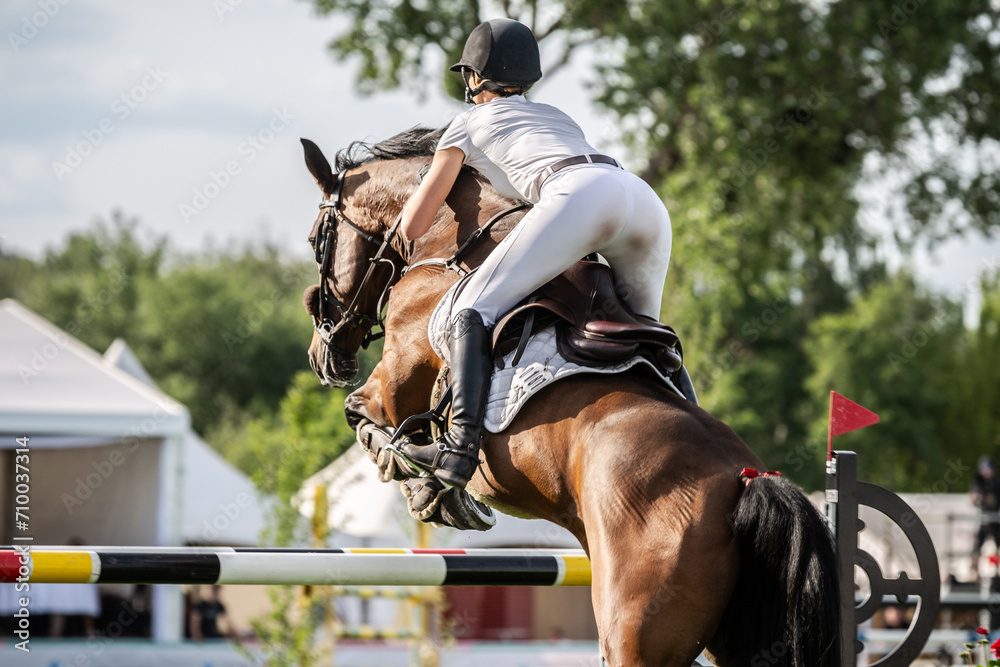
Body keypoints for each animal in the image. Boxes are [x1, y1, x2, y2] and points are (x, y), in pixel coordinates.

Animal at [299, 128, 839, 667]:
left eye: (316, 240)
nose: (322, 355)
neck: (448, 244)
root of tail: (745, 478)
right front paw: (434, 490)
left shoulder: (395, 387)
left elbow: (364, 419)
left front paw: (424, 480)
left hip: (633, 629)